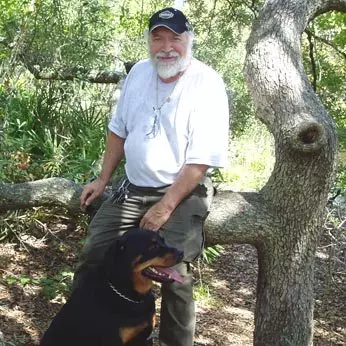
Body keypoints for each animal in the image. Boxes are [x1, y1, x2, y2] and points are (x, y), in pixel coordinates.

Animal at [39, 228, 184, 344]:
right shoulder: (113, 339)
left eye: (164, 241)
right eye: (153, 246)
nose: (181, 252)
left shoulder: (145, 338)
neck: (131, 296)